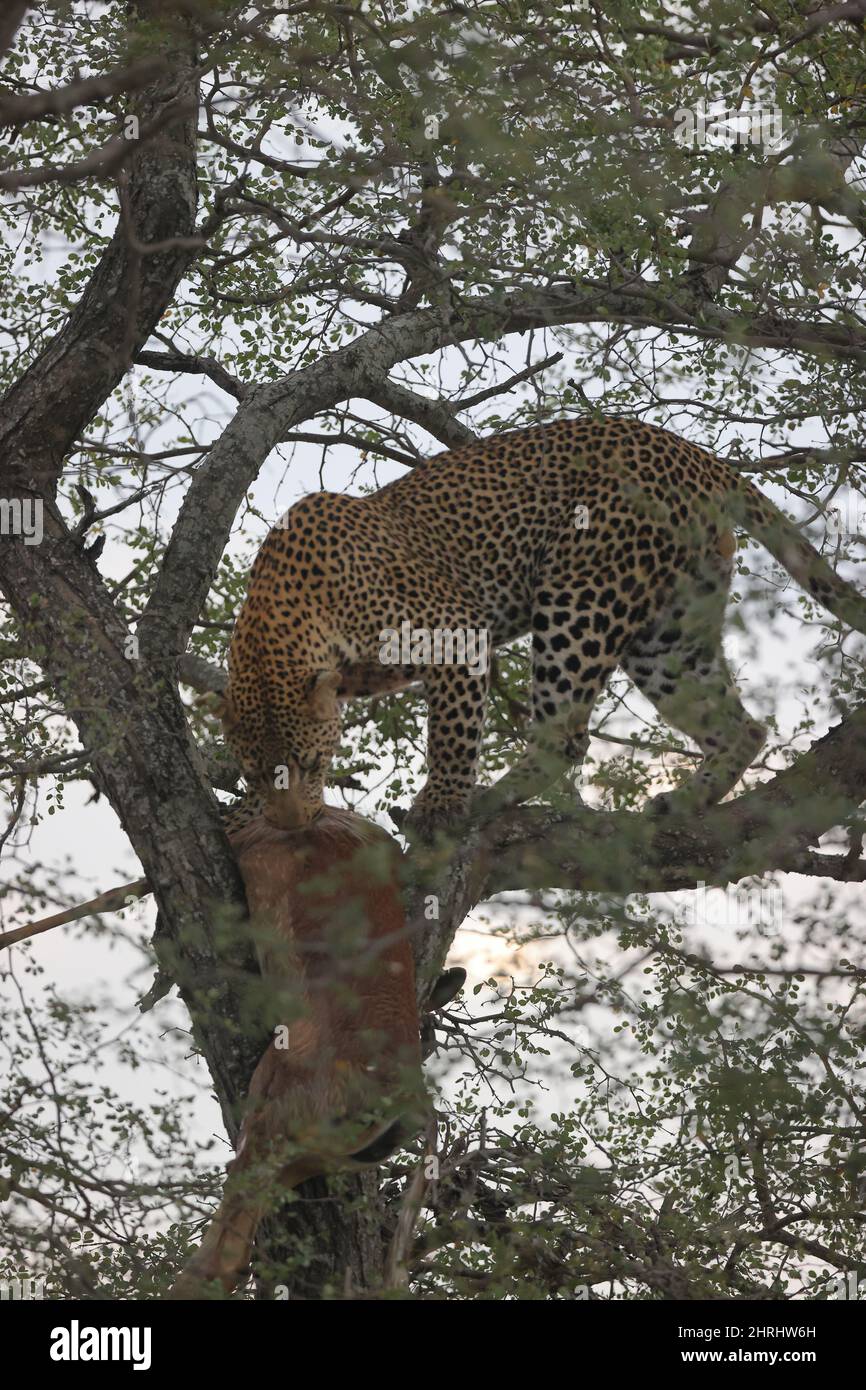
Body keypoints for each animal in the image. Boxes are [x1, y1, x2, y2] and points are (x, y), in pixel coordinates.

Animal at [219, 415, 866, 835]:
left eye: (311, 764)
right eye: (255, 774)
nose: (293, 827)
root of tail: (690, 450)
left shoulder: (455, 629)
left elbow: (452, 734)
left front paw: (441, 803)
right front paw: (247, 816)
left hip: (580, 598)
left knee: (565, 736)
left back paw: (493, 797)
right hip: (668, 636)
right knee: (740, 727)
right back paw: (684, 801)